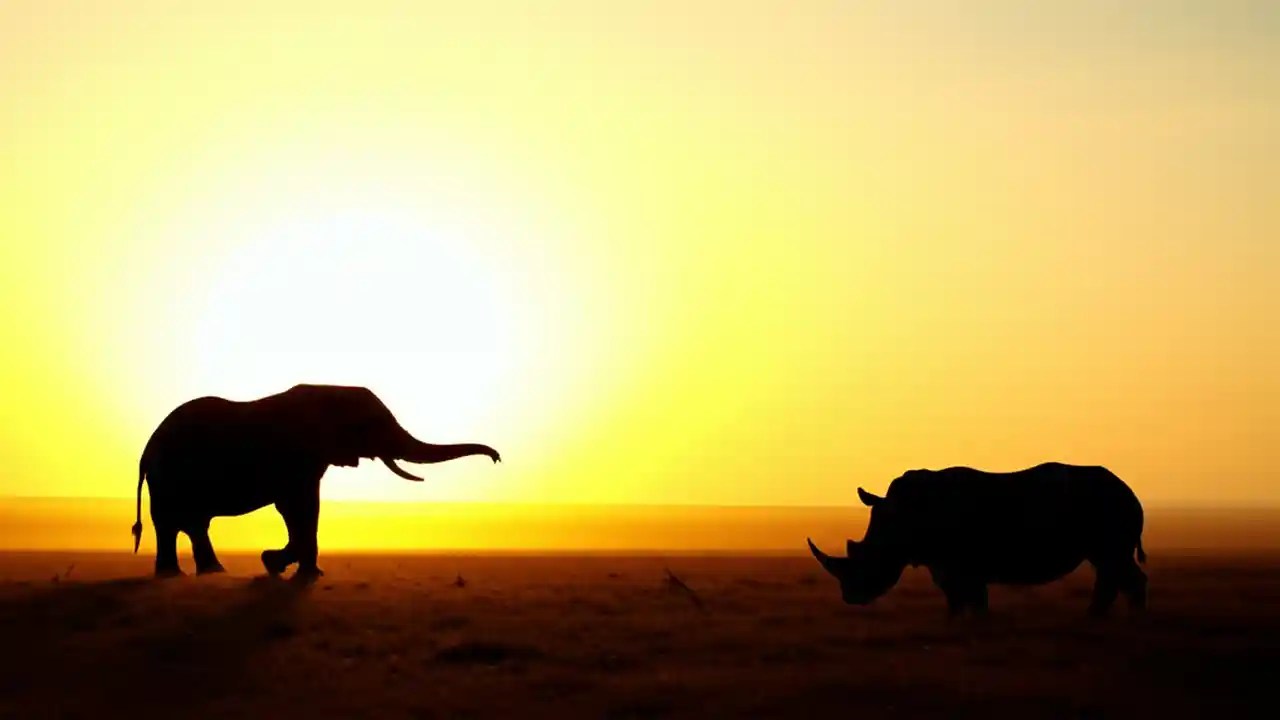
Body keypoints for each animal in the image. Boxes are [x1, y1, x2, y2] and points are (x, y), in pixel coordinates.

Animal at [131, 384, 500, 579]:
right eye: (369, 425)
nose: (497, 459)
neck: (329, 390)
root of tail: (146, 450)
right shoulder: (294, 457)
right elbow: (296, 507)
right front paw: (275, 564)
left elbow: (309, 507)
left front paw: (301, 573)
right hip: (168, 478)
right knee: (172, 523)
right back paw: (177, 575)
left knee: (194, 523)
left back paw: (210, 573)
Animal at [807, 462, 1147, 616]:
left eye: (869, 557)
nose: (849, 597)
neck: (899, 520)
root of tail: (1132, 492)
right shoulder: (946, 563)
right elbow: (959, 600)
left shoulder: (963, 565)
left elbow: (970, 600)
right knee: (1109, 567)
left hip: (1109, 508)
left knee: (1113, 564)